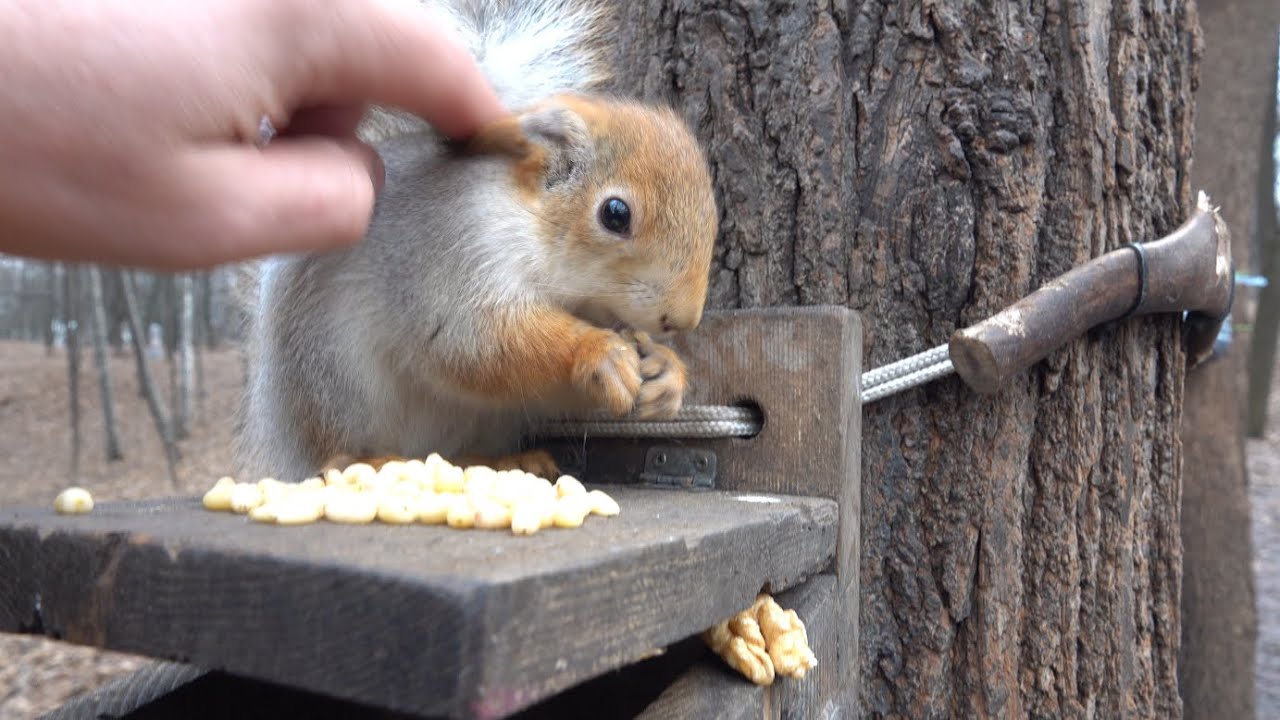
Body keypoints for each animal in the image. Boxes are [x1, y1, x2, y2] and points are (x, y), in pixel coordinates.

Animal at [233, 0, 719, 482]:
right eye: (615, 214)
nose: (683, 320)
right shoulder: (457, 250)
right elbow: (474, 341)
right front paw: (599, 352)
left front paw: (666, 371)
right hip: (332, 379)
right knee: (332, 450)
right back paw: (367, 461)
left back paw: (509, 461)